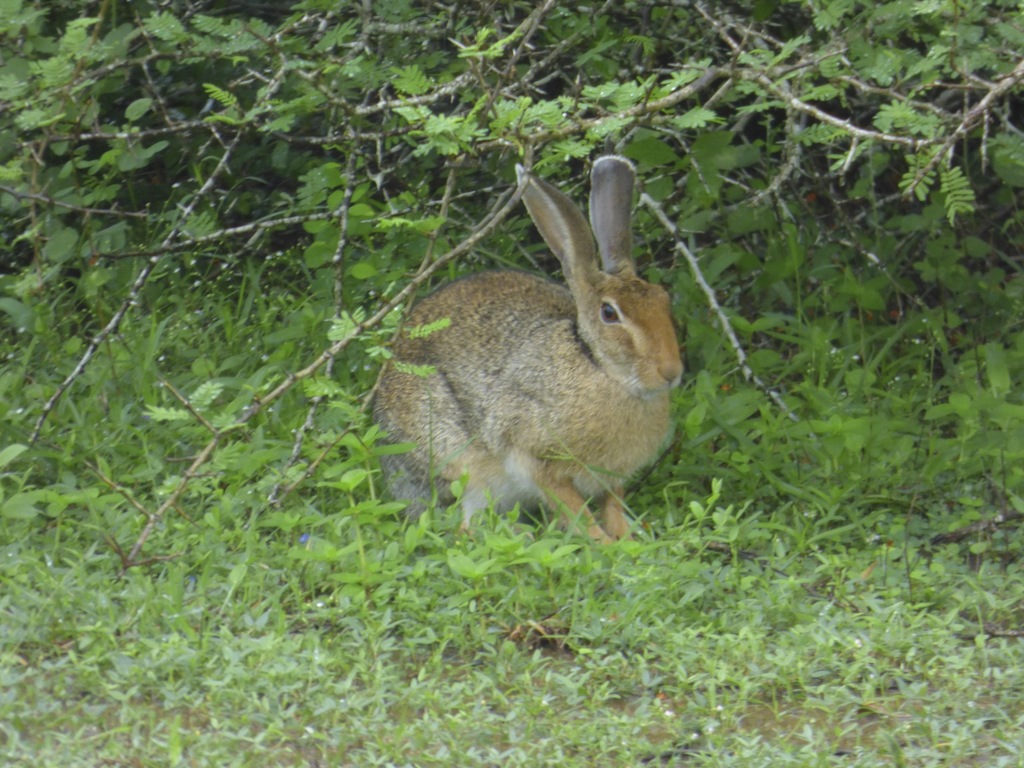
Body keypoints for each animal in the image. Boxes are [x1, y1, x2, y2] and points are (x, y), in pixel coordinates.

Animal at [372, 156, 683, 542]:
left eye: (663, 299)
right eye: (610, 314)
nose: (671, 373)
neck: (599, 366)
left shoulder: (611, 477)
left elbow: (612, 504)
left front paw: (626, 538)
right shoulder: (531, 454)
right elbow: (573, 507)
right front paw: (602, 543)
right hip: (455, 459)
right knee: (463, 525)